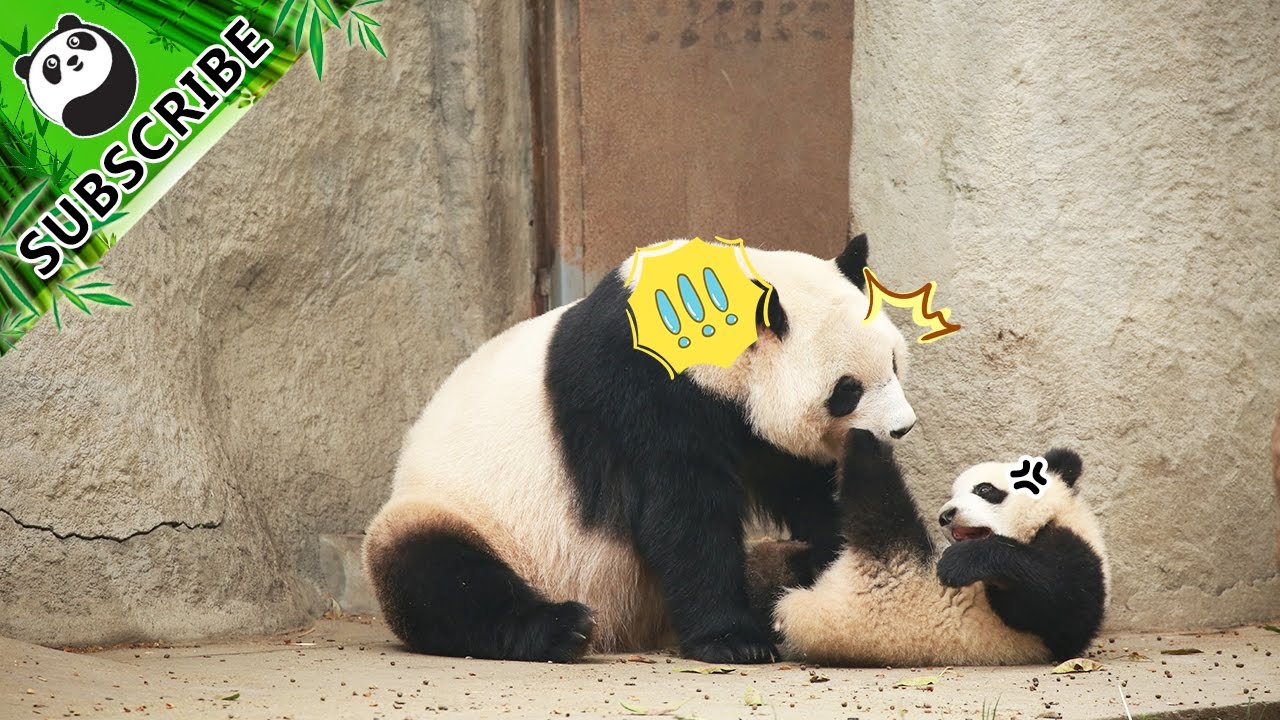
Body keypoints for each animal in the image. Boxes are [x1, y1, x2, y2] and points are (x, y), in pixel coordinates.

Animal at [363, 236, 918, 664]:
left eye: (893, 362)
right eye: (847, 390)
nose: (902, 428)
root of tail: (631, 631)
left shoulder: (750, 425)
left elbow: (800, 485)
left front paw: (844, 549)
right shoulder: (643, 394)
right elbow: (681, 514)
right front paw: (733, 641)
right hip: (462, 513)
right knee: (438, 574)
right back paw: (563, 627)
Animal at [751, 429, 1109, 666]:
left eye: (984, 489)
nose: (945, 515)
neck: (1058, 517)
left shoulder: (1072, 560)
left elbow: (1055, 596)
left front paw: (960, 564)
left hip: (888, 568)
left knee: (877, 496)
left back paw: (863, 439)